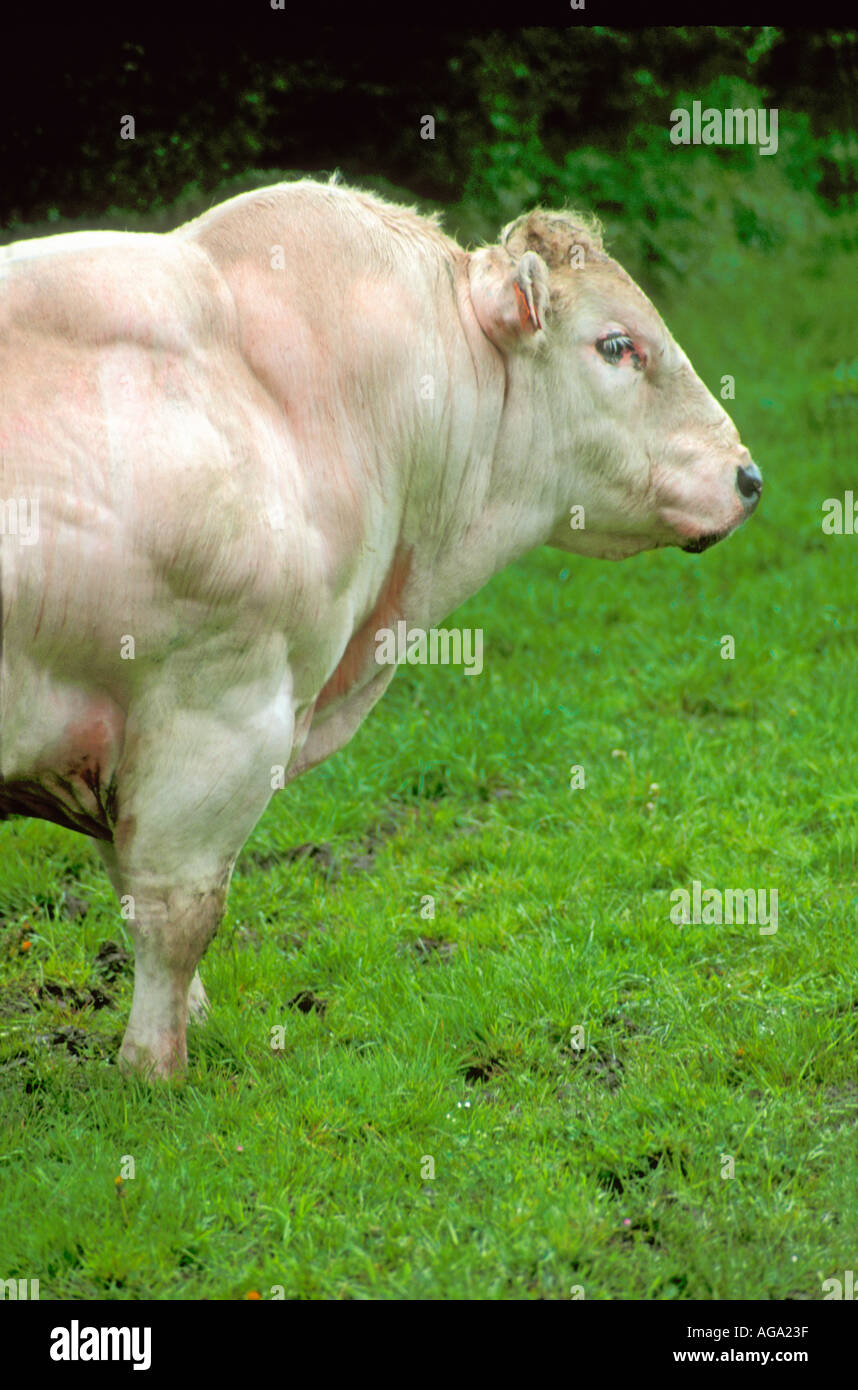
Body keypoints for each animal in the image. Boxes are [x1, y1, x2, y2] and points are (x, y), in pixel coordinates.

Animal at [0, 178, 762, 1077]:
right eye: (617, 345)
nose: (747, 478)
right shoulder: (216, 705)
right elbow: (176, 909)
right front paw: (155, 1070)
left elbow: (130, 883)